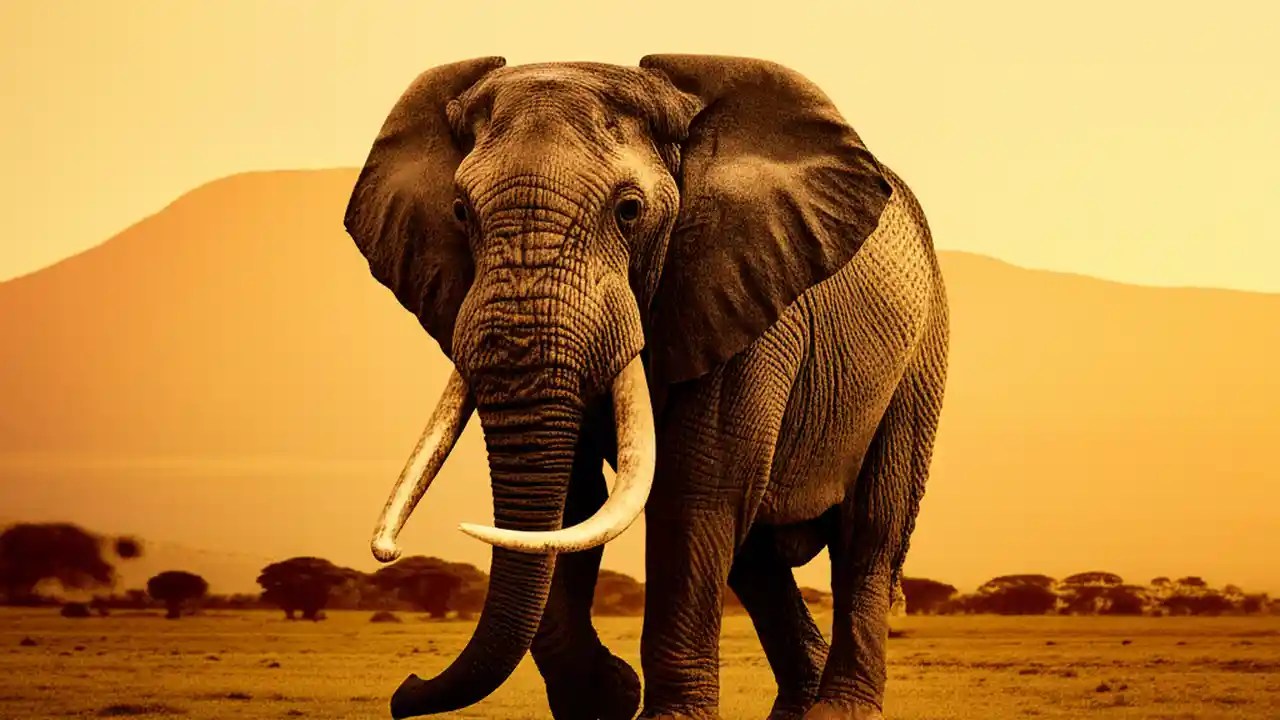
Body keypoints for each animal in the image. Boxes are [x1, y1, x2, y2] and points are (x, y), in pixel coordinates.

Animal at [343, 54, 949, 720]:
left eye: (629, 210)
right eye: (458, 211)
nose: (405, 690)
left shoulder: (744, 294)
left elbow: (698, 491)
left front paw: (653, 711)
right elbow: (574, 499)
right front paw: (604, 698)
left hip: (919, 359)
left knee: (869, 533)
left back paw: (837, 710)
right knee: (757, 558)